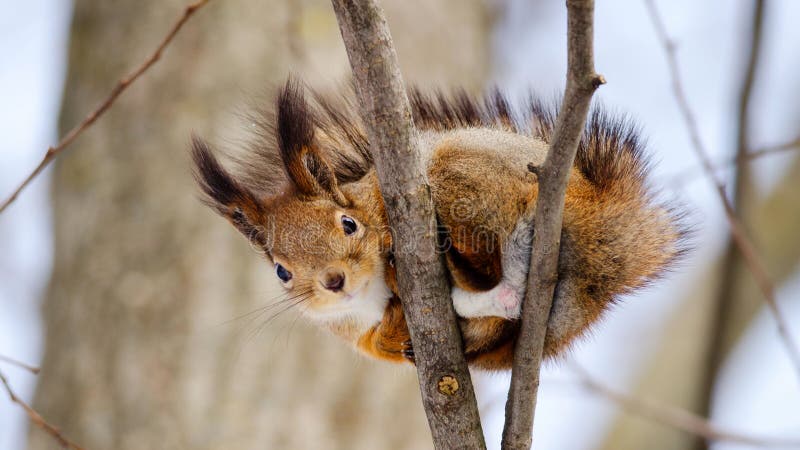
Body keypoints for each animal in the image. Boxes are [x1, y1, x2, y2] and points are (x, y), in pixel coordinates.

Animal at [191, 78, 688, 370]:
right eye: (281, 271)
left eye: (349, 224)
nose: (333, 281)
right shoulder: (353, 333)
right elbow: (377, 345)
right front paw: (392, 335)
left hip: (465, 177)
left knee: (486, 264)